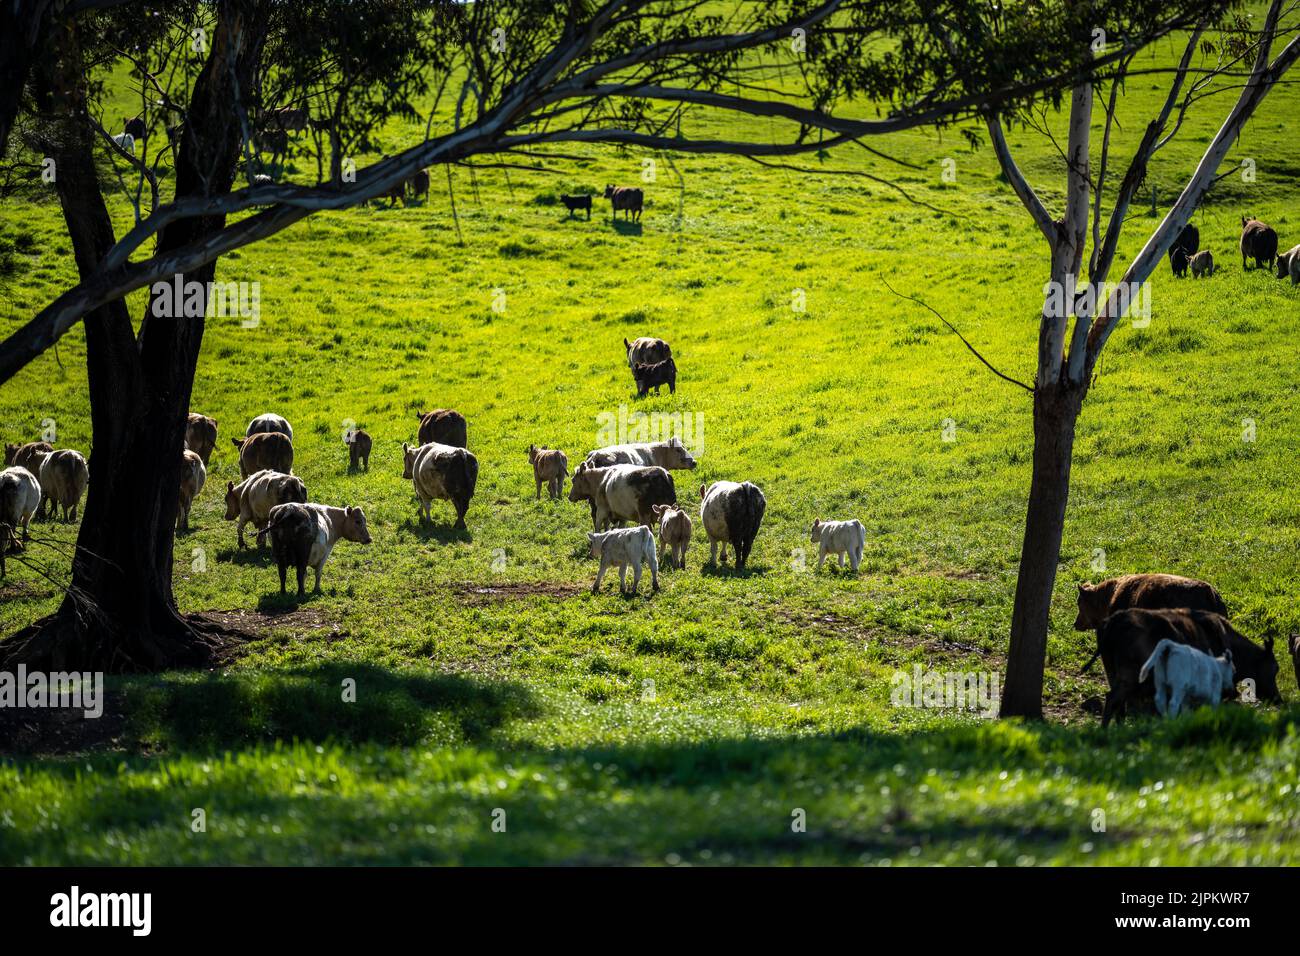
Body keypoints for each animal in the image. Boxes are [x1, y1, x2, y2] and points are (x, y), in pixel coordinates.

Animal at [1094, 608, 1281, 726]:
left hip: (1113, 673)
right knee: (1113, 699)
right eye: (1274, 669)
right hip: (1129, 677)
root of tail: (1114, 620)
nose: (1279, 699)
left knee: (1119, 705)